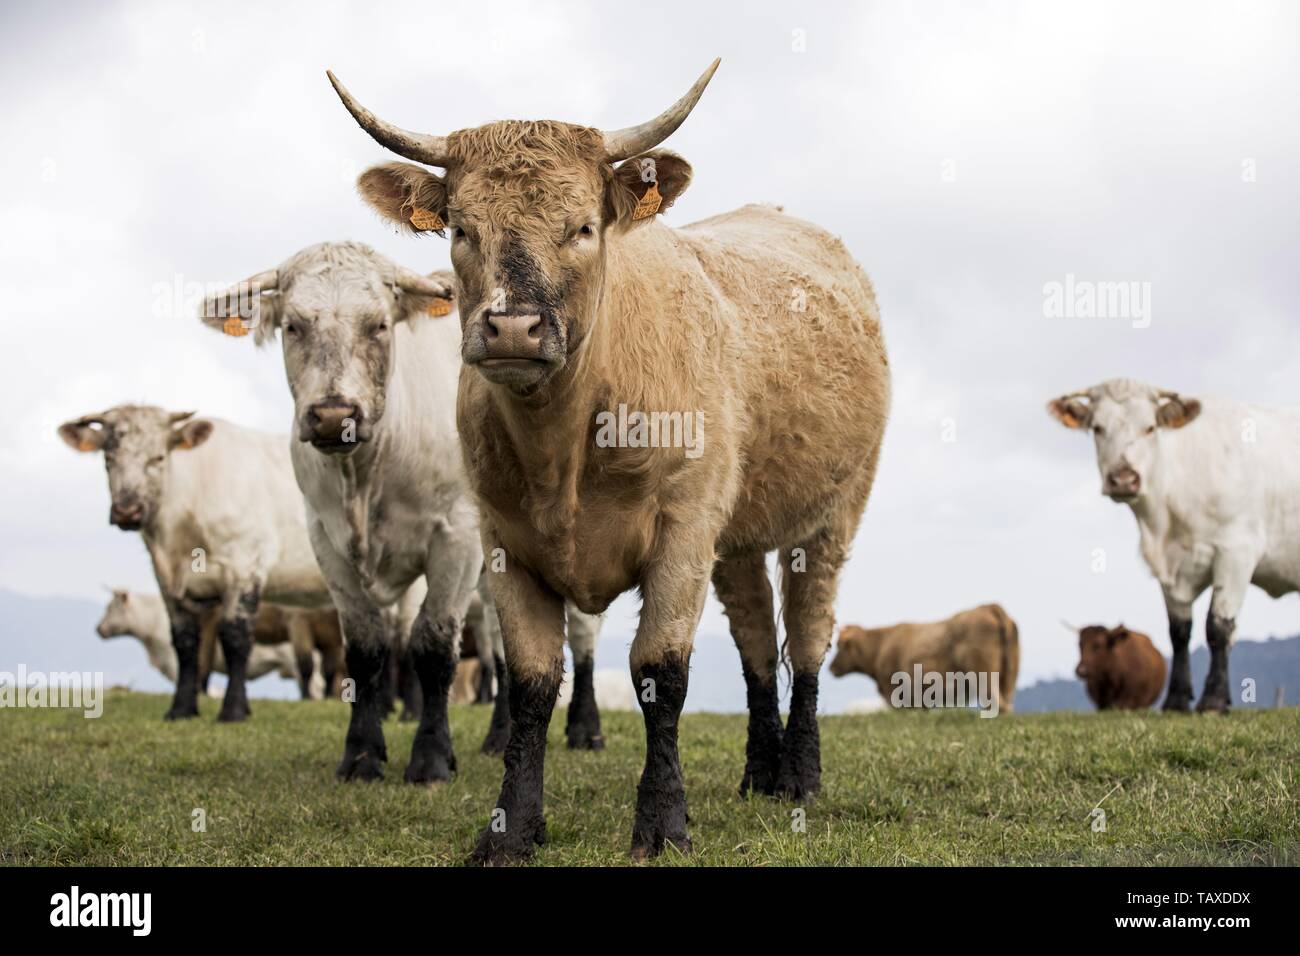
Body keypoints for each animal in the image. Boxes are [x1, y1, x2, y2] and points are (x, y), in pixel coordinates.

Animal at [59, 406, 332, 722]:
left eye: (159, 457)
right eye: (108, 458)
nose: (127, 510)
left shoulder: (244, 565)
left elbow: (235, 638)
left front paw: (233, 710)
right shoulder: (167, 582)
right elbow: (187, 643)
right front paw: (181, 709)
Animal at [200, 243, 608, 783]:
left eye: (378, 324)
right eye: (292, 325)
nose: (334, 415)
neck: (365, 475)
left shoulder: (455, 535)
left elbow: (432, 646)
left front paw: (431, 756)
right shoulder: (325, 539)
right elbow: (364, 649)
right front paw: (362, 754)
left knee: (582, 638)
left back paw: (586, 729)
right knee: (503, 643)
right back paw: (499, 738)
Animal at [329, 58, 891, 861]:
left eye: (584, 227)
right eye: (462, 229)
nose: (512, 328)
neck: (561, 451)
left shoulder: (682, 533)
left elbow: (660, 670)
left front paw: (662, 824)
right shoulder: (504, 543)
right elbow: (533, 680)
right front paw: (511, 829)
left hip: (833, 515)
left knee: (809, 635)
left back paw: (799, 777)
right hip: (735, 535)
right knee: (755, 637)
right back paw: (758, 773)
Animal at [828, 604, 1019, 713]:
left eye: (839, 646)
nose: (831, 668)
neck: (880, 646)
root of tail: (988, 606)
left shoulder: (893, 689)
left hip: (984, 674)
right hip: (1009, 676)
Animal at [1048, 378, 1300, 713]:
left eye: (1150, 427)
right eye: (1098, 428)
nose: (1124, 479)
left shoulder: (1237, 552)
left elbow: (1218, 627)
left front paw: (1213, 700)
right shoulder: (1171, 568)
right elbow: (1179, 631)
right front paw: (1177, 700)